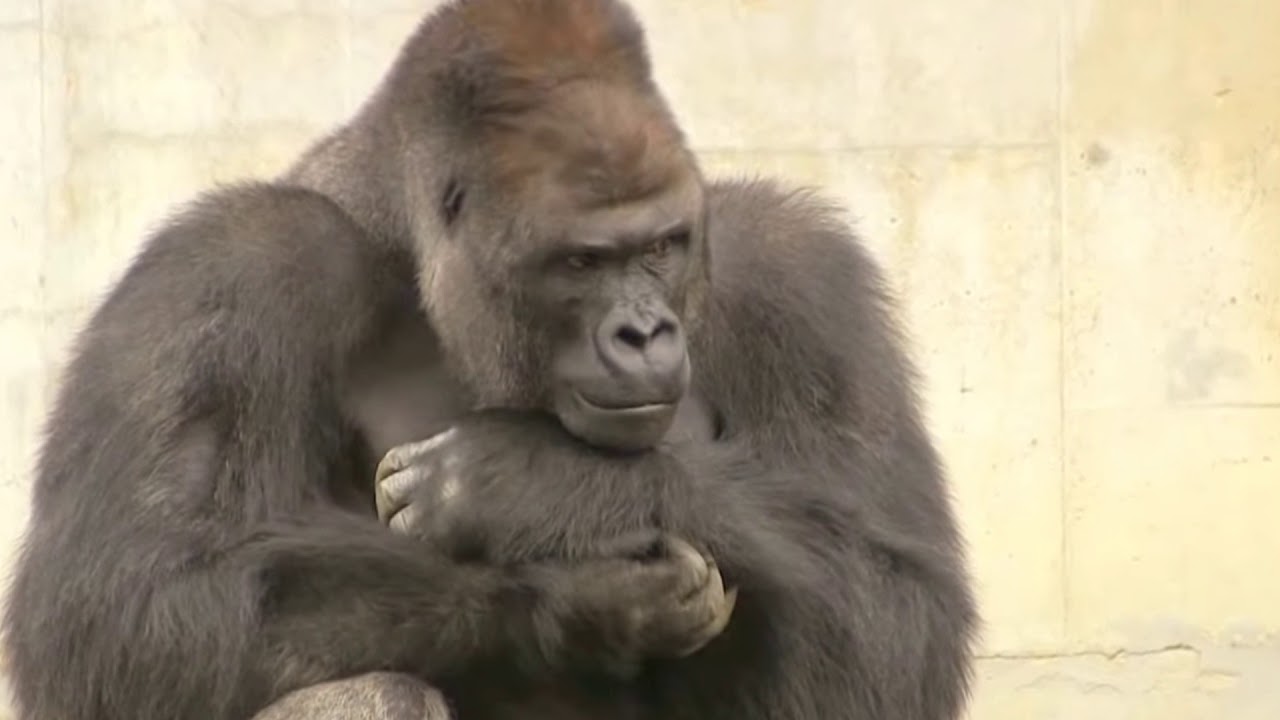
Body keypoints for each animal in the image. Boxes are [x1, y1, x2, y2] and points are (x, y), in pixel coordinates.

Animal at [1, 1, 978, 719]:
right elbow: (127, 610)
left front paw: (542, 483)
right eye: (581, 262)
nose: (645, 334)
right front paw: (571, 597)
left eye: (662, 247)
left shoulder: (791, 274)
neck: (406, 247)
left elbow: (893, 612)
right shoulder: (234, 265)